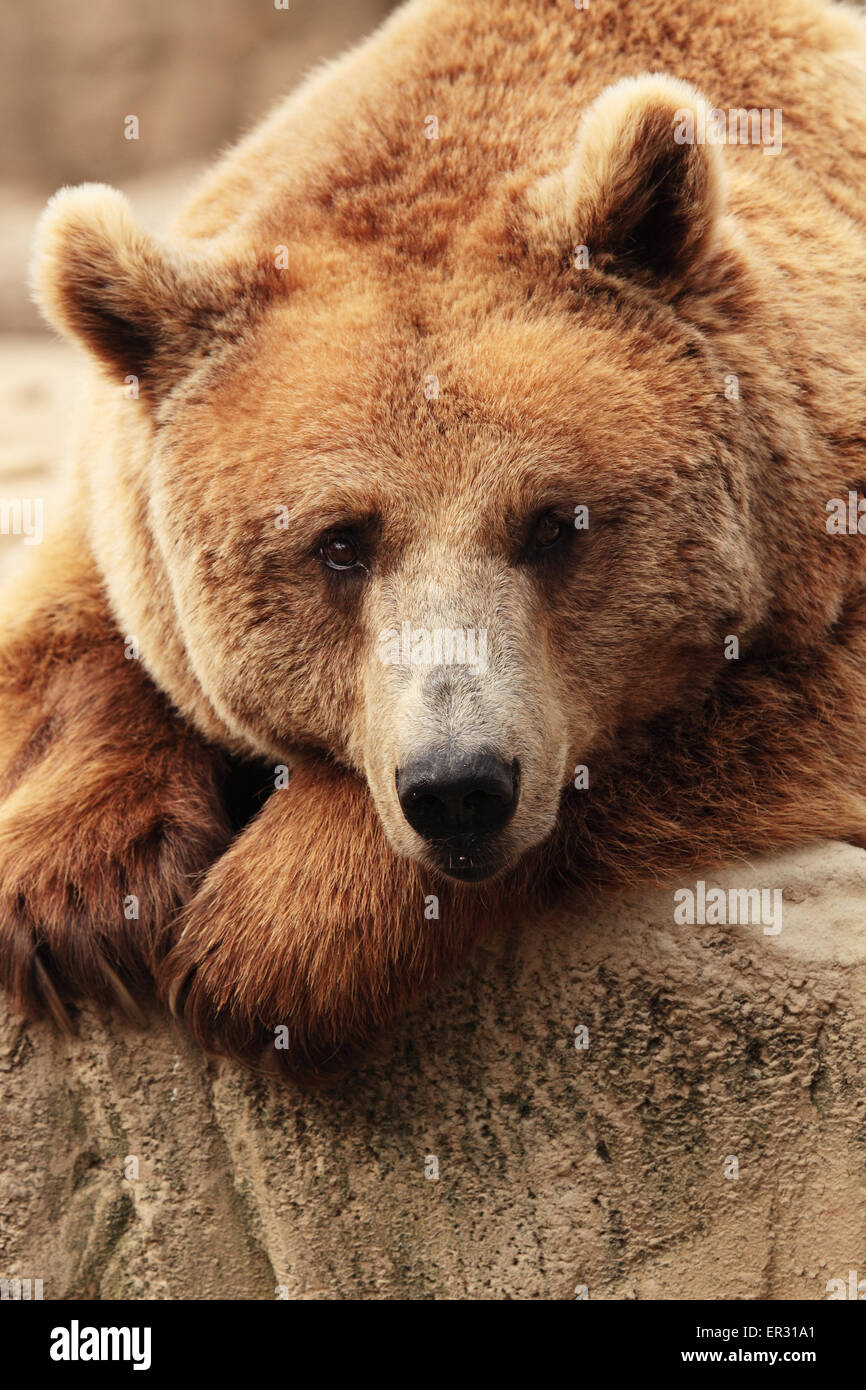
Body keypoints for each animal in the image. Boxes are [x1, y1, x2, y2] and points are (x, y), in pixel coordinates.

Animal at [3, 0, 866, 1082]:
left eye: (557, 522)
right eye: (339, 543)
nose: (459, 788)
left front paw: (272, 930)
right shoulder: (118, 488)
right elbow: (75, 621)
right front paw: (69, 896)